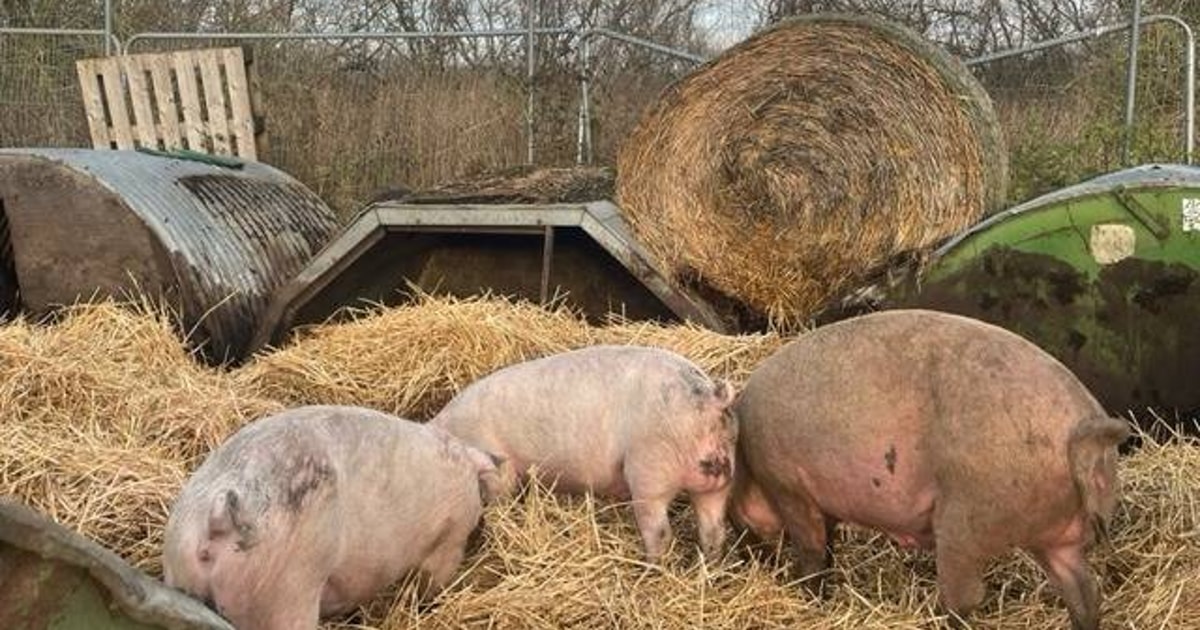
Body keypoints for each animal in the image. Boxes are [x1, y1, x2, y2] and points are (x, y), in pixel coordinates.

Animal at [430, 345, 738, 561]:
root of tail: (710, 397)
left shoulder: (497, 469)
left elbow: (501, 498)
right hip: (721, 476)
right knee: (713, 530)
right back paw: (710, 568)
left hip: (651, 470)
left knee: (660, 532)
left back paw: (651, 568)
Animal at [731, 309, 1129, 630]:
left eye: (730, 505)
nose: (745, 556)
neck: (750, 465)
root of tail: (1082, 432)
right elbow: (827, 549)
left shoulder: (788, 486)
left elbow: (812, 554)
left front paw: (808, 597)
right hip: (1061, 538)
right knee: (1086, 596)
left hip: (966, 521)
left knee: (964, 598)